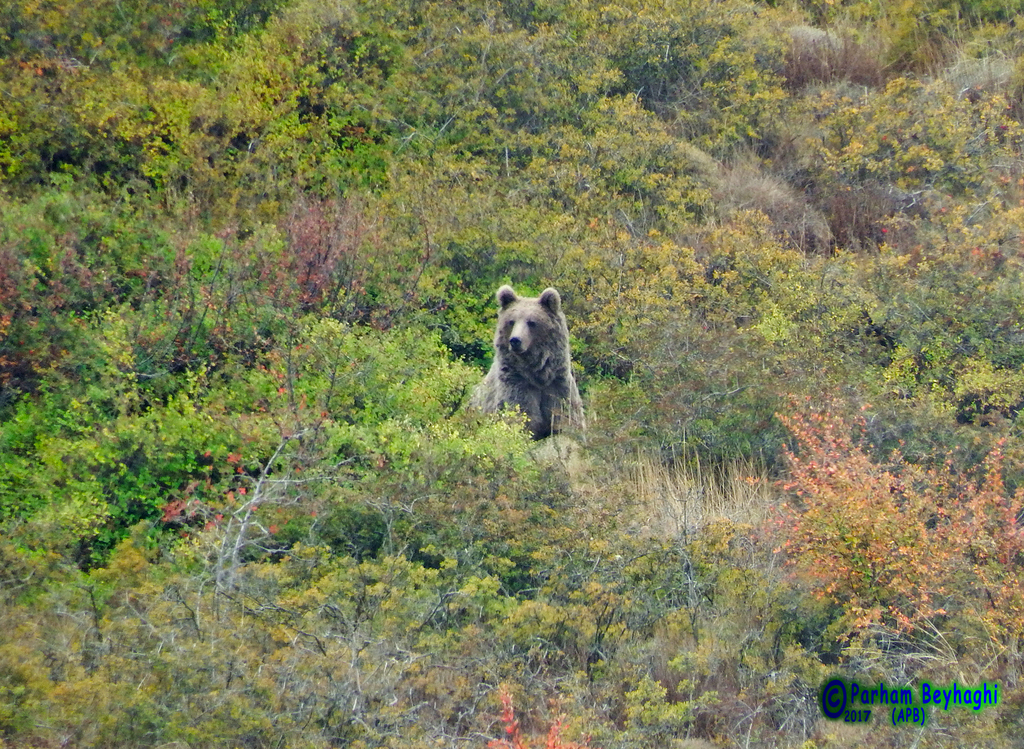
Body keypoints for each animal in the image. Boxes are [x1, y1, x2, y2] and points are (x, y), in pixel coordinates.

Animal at [471, 285, 584, 440]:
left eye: (532, 322)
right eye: (511, 321)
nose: (515, 340)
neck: (538, 374)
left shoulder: (557, 384)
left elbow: (566, 419)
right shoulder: (517, 383)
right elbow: (521, 416)